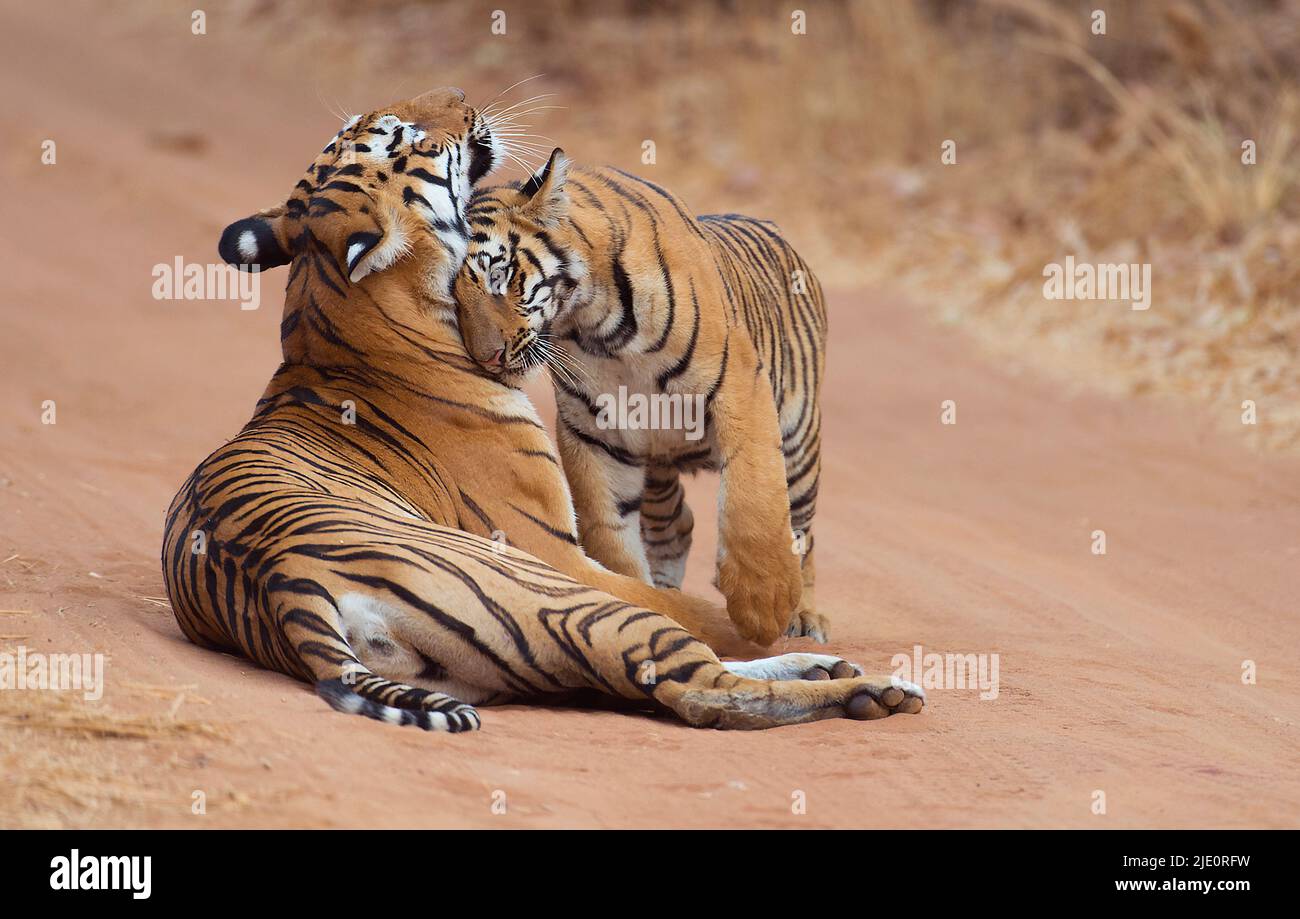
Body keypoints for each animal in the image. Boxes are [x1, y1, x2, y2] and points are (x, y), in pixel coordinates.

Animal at [453, 148, 829, 646]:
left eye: (500, 278)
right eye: (451, 298)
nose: (489, 358)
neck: (593, 324)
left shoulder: (737, 385)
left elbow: (755, 498)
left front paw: (764, 604)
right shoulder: (596, 430)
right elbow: (611, 534)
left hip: (799, 441)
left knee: (801, 528)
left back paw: (804, 615)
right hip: (657, 456)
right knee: (676, 523)